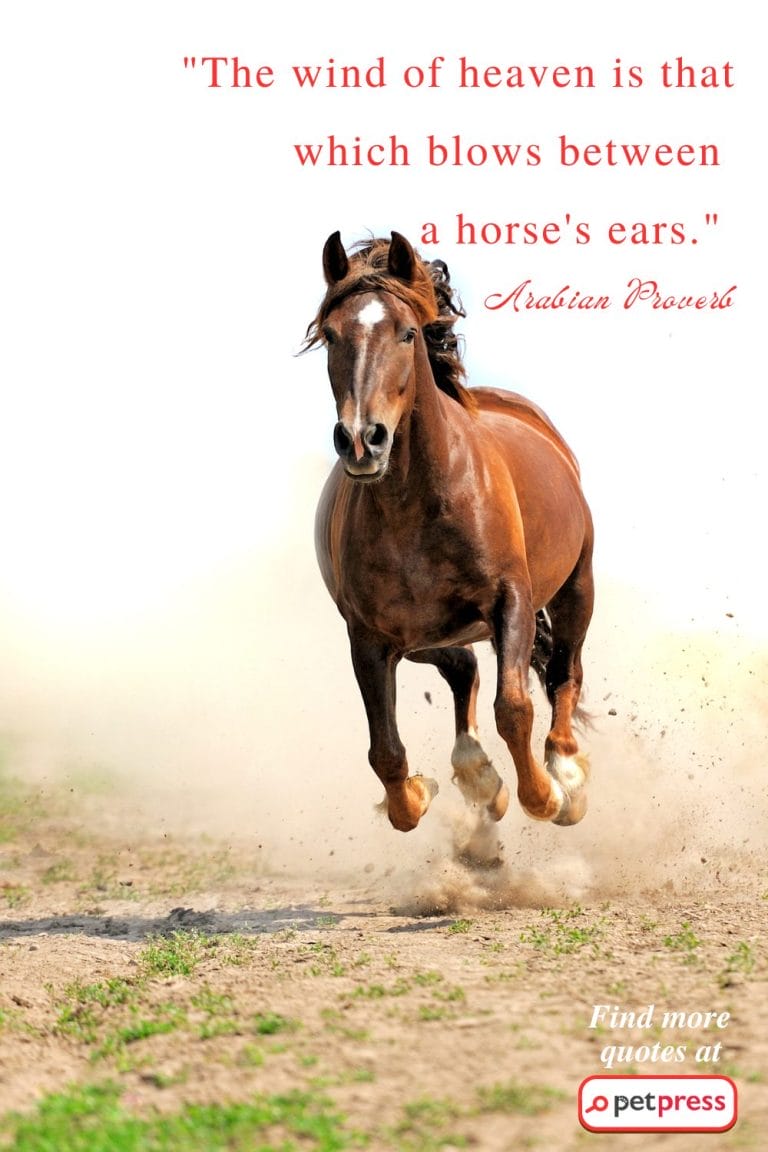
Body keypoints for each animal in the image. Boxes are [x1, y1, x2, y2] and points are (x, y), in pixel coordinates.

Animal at [306, 230, 594, 833]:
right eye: (330, 335)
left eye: (407, 331)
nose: (362, 440)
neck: (418, 509)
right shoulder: (370, 637)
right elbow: (386, 752)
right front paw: (423, 794)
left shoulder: (511, 600)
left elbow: (515, 707)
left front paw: (547, 796)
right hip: (426, 638)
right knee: (463, 668)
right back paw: (478, 776)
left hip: (576, 585)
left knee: (564, 671)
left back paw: (565, 772)